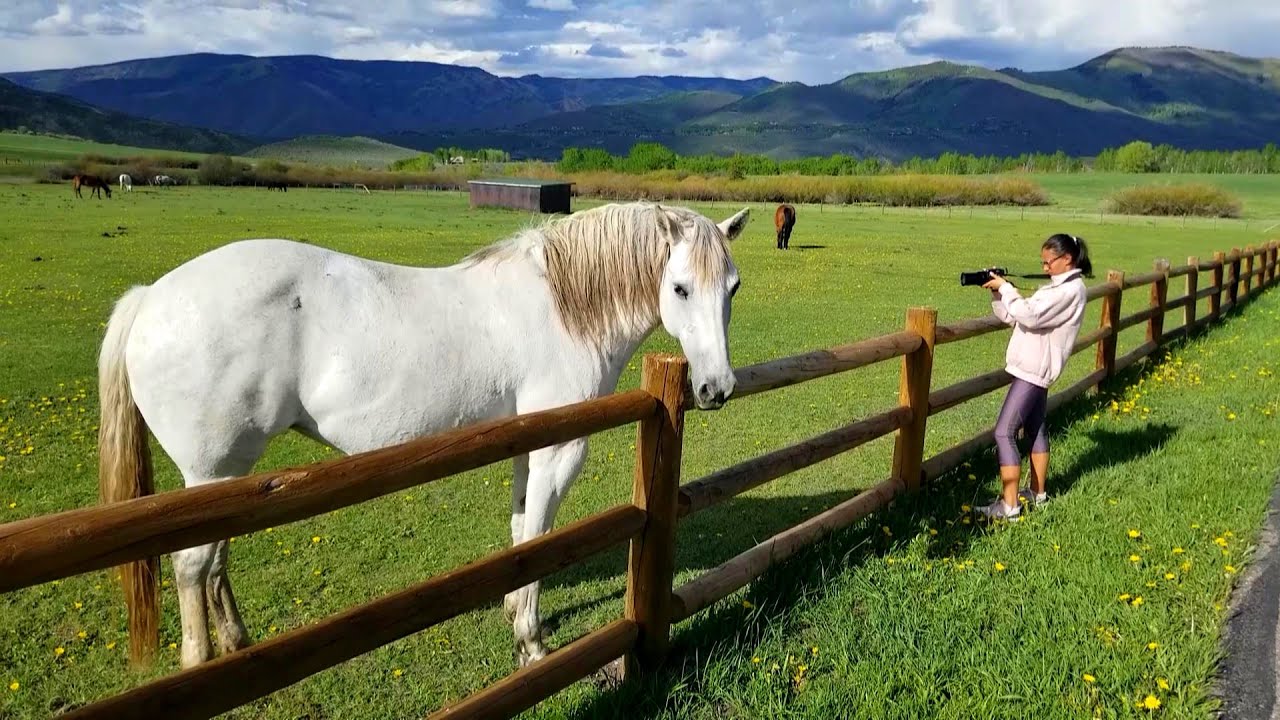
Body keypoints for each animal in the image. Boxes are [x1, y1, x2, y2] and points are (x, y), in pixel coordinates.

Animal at [98, 201, 750, 669]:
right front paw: (531, 642)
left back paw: (237, 645)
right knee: (191, 566)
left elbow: (520, 532)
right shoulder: (557, 451)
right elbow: (539, 536)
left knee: (214, 565)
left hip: (230, 475)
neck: (563, 307)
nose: (716, 388)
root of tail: (151, 298)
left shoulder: (525, 446)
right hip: (211, 470)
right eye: (680, 288)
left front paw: (513, 611)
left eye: (733, 287)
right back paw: (199, 663)